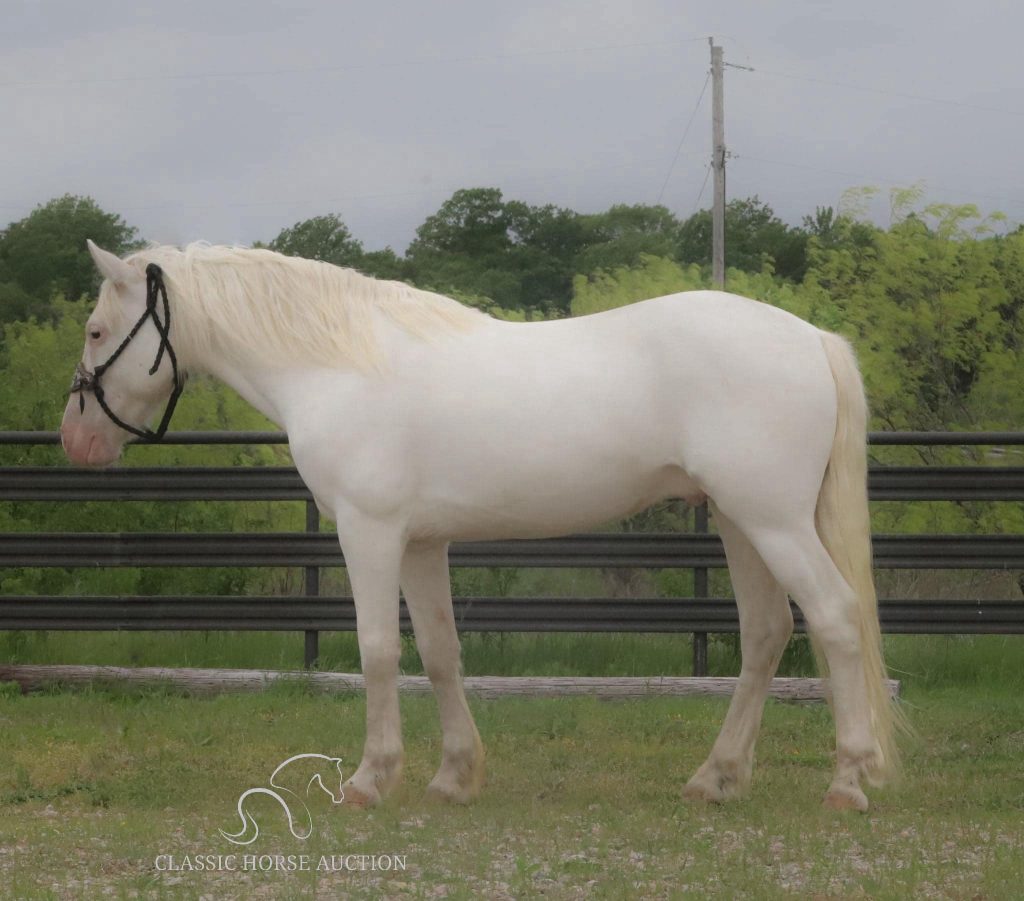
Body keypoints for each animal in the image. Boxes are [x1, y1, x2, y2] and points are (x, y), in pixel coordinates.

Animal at [60, 240, 903, 812]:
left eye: (98, 331)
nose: (76, 439)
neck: (338, 364)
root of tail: (812, 339)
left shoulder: (369, 531)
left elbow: (376, 650)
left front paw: (370, 779)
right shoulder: (422, 542)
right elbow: (439, 653)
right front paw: (454, 775)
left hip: (773, 520)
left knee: (833, 617)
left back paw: (849, 778)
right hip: (738, 519)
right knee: (766, 632)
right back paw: (717, 776)